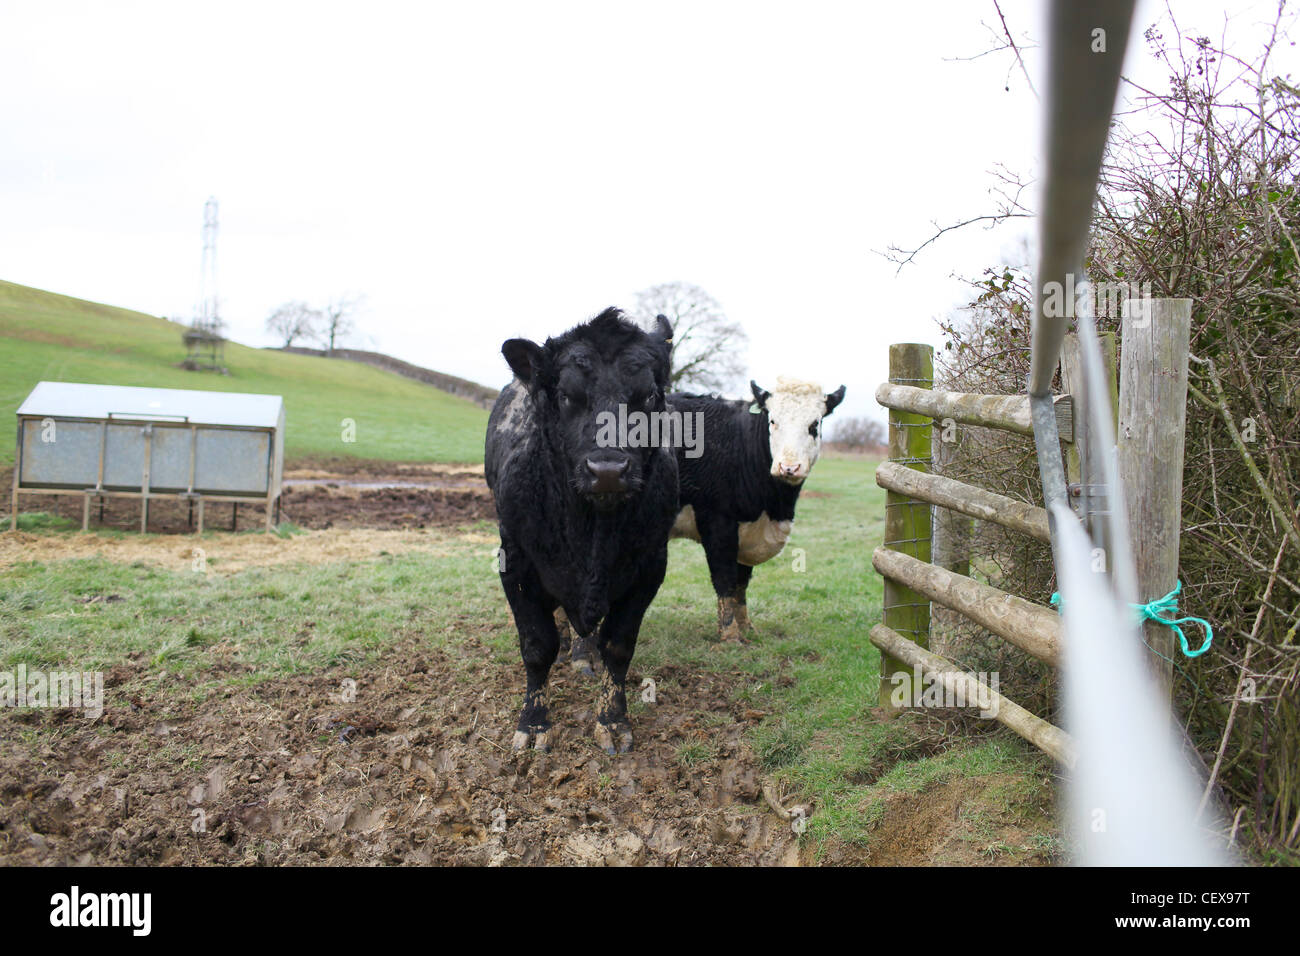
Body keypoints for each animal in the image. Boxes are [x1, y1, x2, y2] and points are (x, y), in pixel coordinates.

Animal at [485, 308, 677, 754]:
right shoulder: (514, 559)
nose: (607, 470)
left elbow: (618, 646)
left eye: (649, 397)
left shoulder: (650, 565)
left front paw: (613, 720)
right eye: (567, 395)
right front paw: (534, 723)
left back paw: (582, 655)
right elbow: (537, 646)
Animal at [667, 376, 845, 642]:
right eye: (773, 420)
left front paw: (747, 627)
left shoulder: (748, 533)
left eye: (814, 424)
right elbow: (724, 578)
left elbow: (741, 583)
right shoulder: (717, 522)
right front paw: (730, 635)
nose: (789, 467)